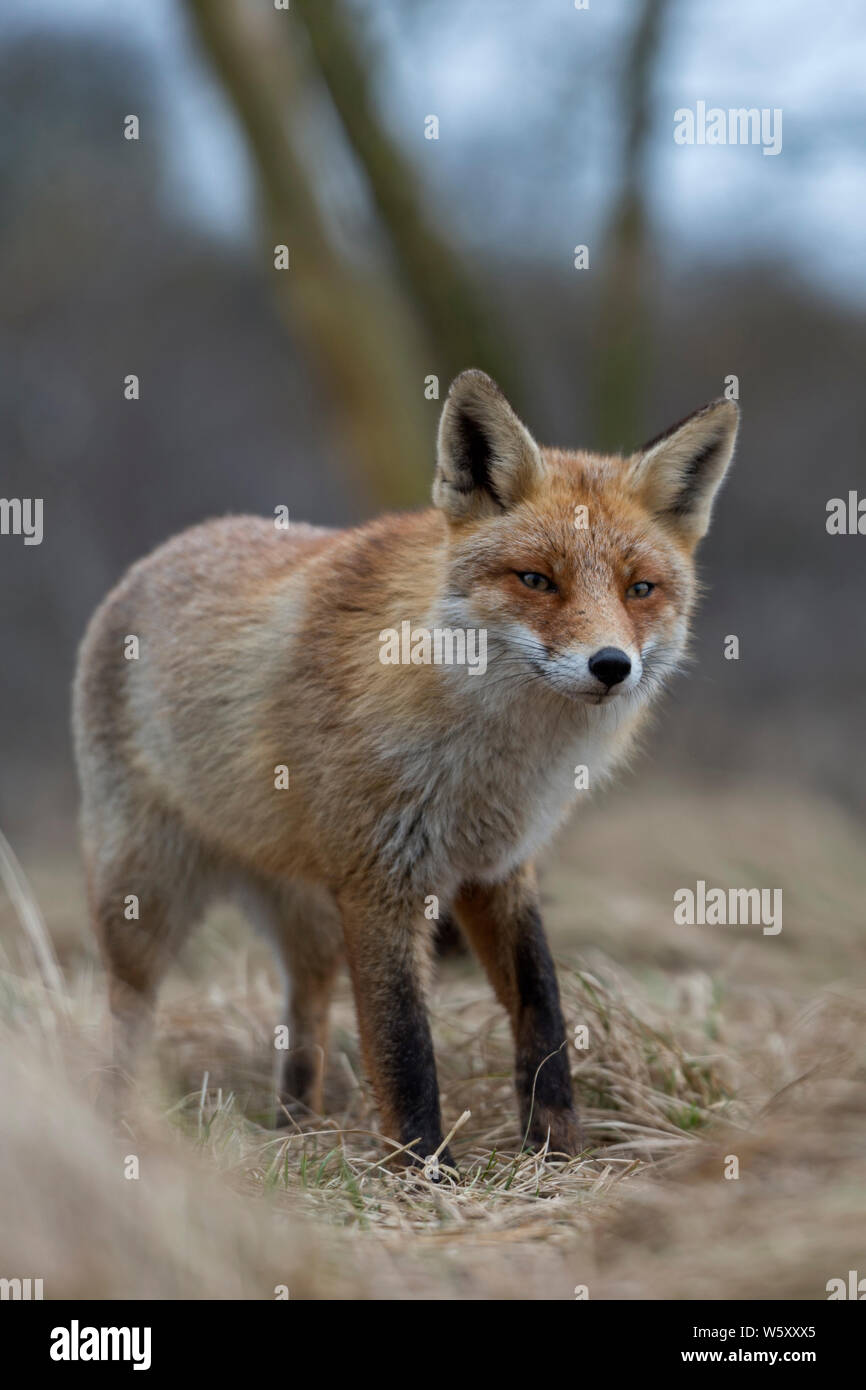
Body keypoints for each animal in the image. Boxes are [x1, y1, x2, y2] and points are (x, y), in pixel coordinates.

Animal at [73, 369, 738, 1173]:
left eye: (640, 589)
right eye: (536, 580)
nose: (612, 666)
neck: (493, 762)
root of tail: (163, 551)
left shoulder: (499, 868)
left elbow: (542, 1011)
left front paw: (558, 1154)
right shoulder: (381, 879)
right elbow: (404, 1044)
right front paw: (426, 1173)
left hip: (307, 911)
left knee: (306, 1006)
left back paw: (295, 1128)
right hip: (145, 898)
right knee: (127, 1010)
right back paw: (114, 1129)